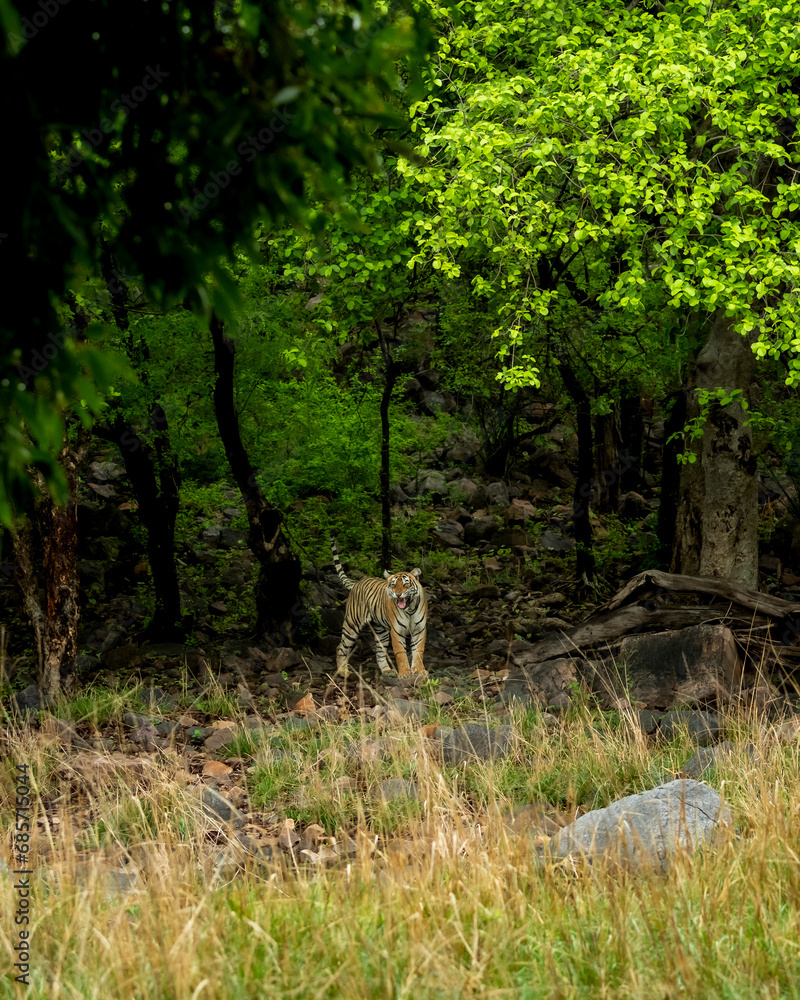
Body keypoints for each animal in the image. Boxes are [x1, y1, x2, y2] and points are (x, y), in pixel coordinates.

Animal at [330, 536, 427, 678]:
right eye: (393, 585)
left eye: (406, 584)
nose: (398, 594)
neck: (410, 609)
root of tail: (357, 582)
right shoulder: (396, 631)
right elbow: (401, 653)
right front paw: (404, 673)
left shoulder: (419, 629)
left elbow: (418, 651)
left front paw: (419, 671)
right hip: (352, 625)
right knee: (340, 647)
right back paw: (343, 671)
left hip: (381, 630)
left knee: (379, 652)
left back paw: (387, 670)